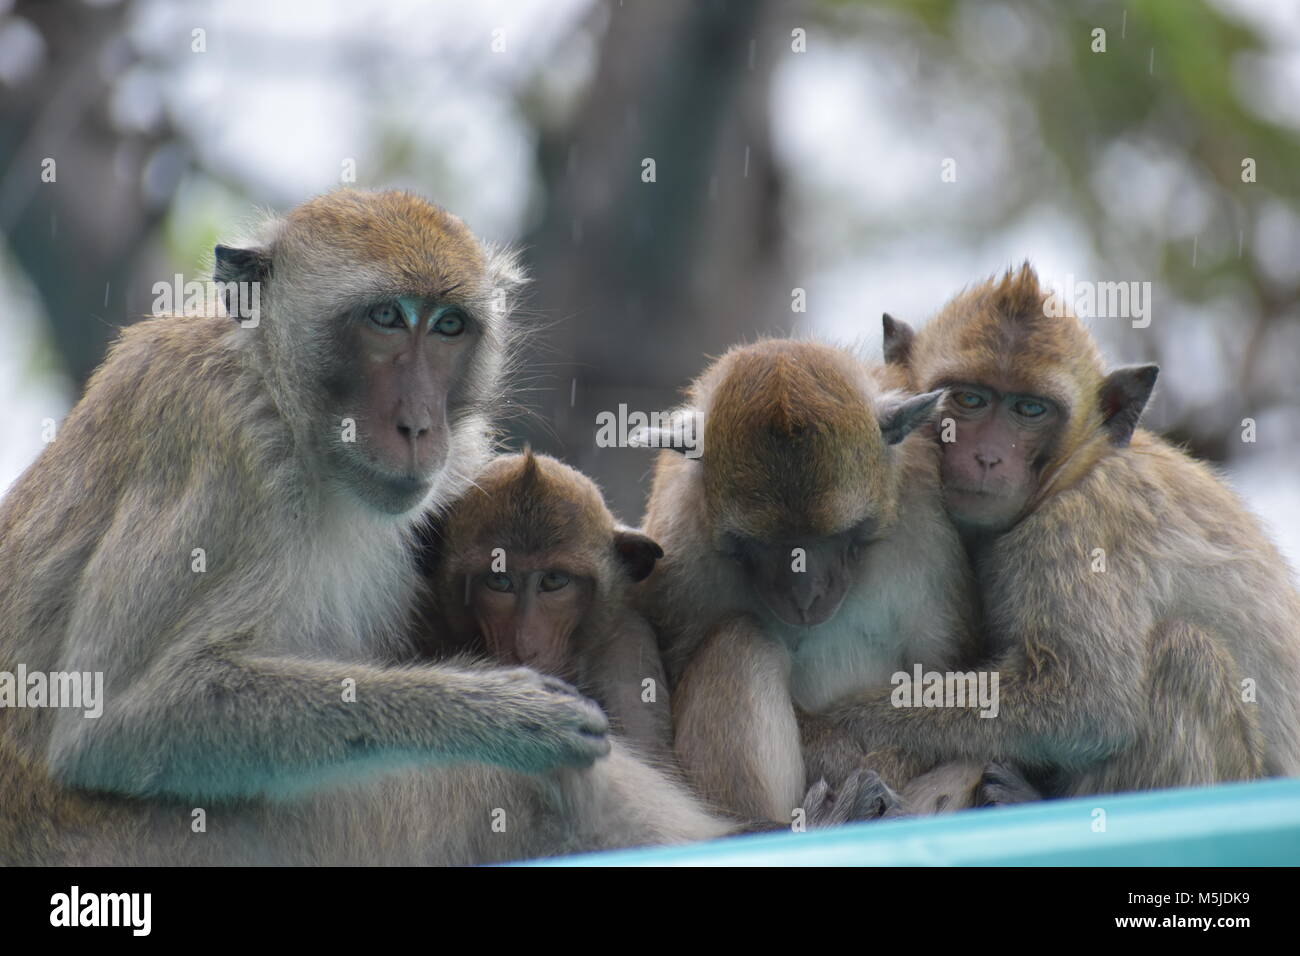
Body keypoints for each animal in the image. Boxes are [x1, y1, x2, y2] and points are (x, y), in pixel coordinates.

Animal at [632, 339, 988, 824]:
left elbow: (936, 683)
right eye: (755, 543)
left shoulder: (929, 519)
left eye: (843, 534)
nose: (805, 597)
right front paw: (840, 756)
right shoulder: (682, 540)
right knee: (741, 641)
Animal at [831, 262, 1300, 799]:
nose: (988, 456)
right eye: (967, 399)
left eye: (1030, 410)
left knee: (1183, 653)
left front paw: (838, 726)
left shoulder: (1074, 531)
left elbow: (1090, 702)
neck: (1071, 472)